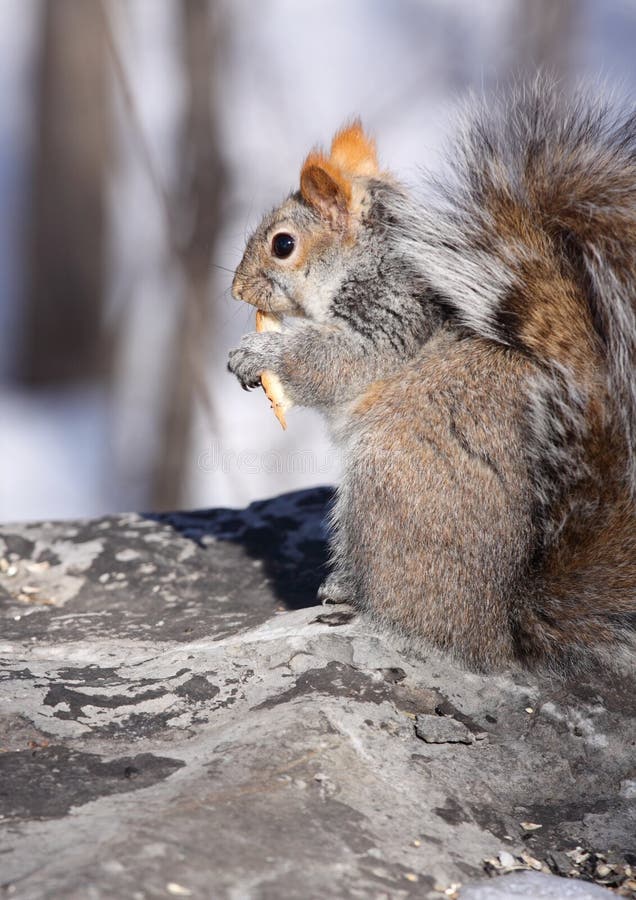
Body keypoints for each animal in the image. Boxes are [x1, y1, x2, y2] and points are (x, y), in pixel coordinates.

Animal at [228, 78, 636, 674]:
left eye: (283, 244)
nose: (237, 290)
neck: (366, 255)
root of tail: (497, 629)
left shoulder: (394, 312)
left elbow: (342, 361)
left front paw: (261, 353)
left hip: (388, 477)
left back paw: (348, 590)